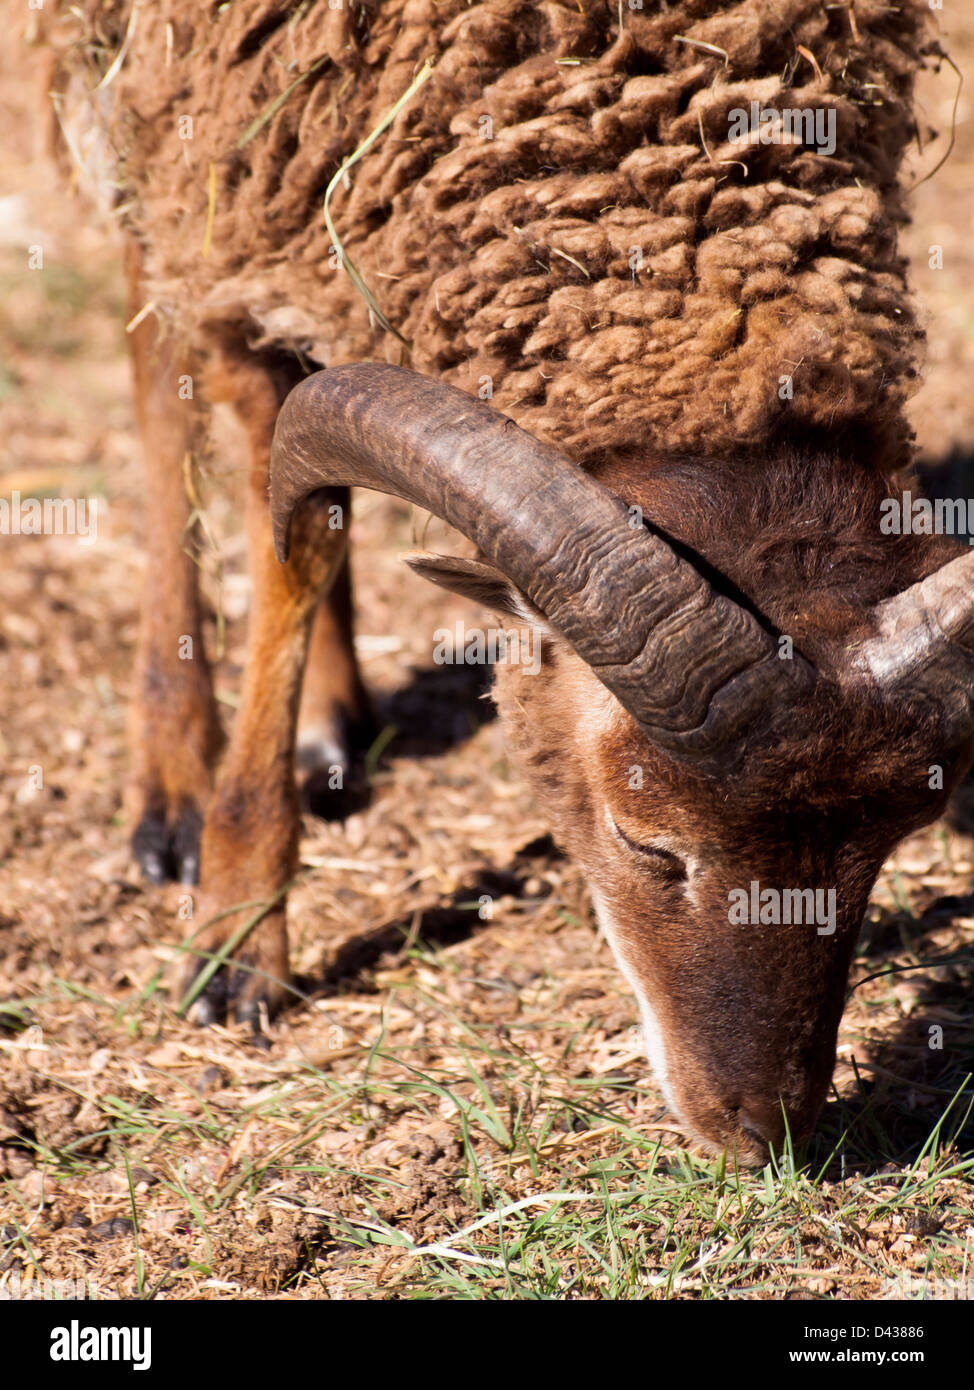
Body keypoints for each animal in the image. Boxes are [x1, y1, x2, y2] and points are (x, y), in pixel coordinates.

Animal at [44, 0, 974, 1161]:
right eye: (646, 842)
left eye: (888, 849)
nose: (767, 1137)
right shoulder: (236, 151)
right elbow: (287, 519)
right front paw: (236, 939)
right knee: (160, 357)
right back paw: (174, 788)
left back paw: (335, 726)